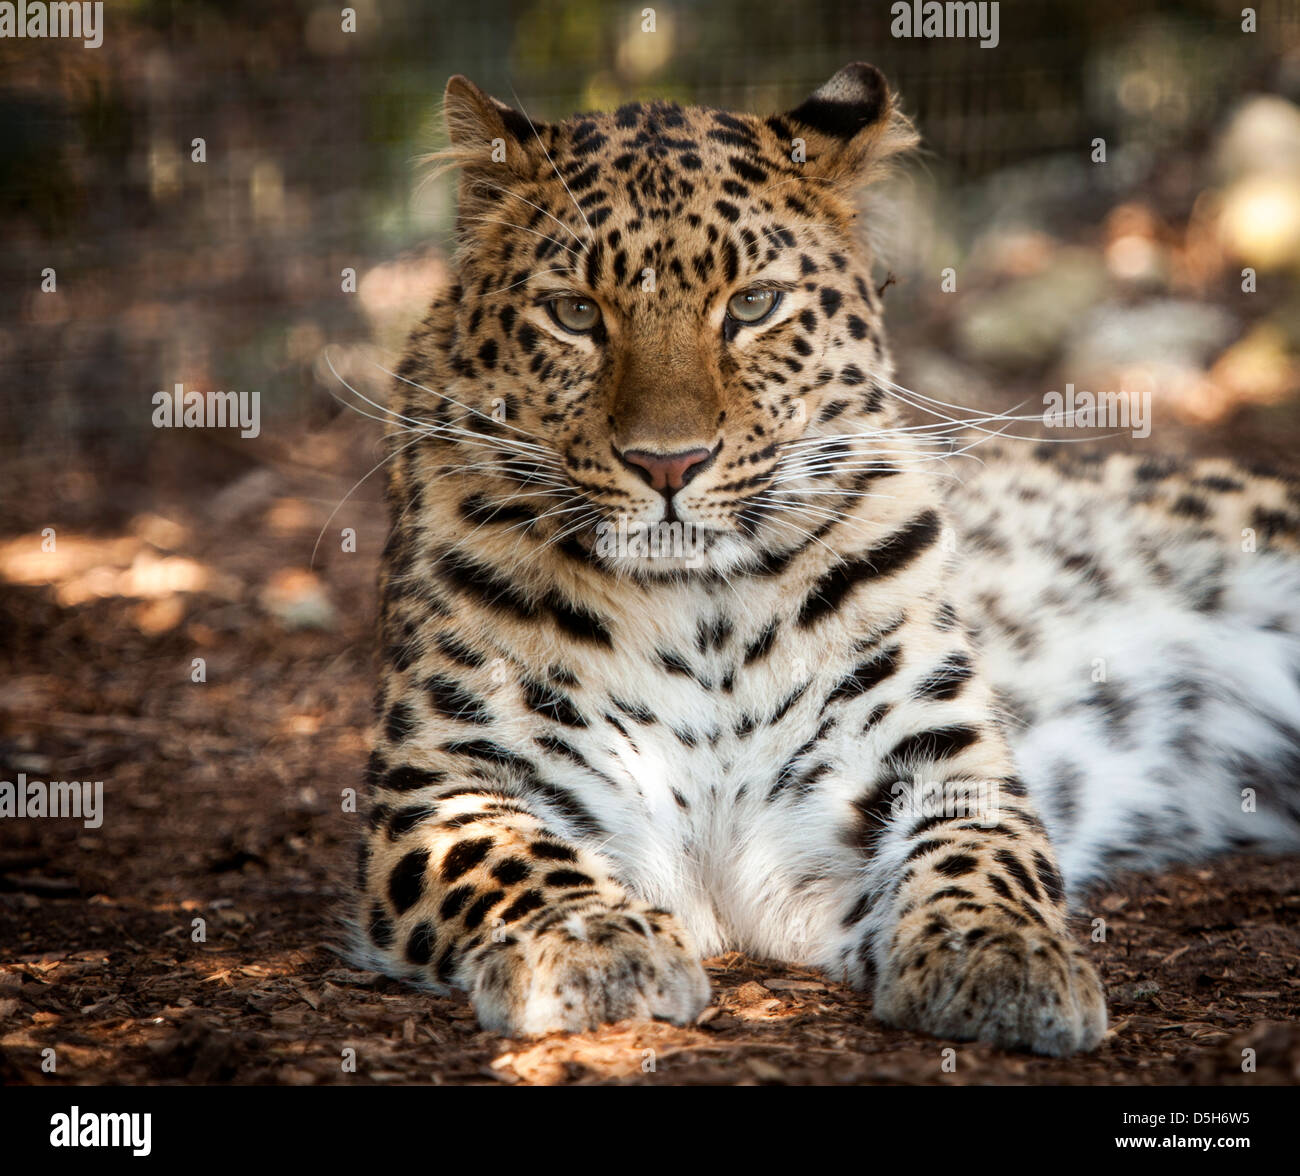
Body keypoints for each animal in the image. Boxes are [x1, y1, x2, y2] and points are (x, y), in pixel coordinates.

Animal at [348, 62, 1300, 1056]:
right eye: (575, 313)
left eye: (752, 305)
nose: (668, 464)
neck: (699, 613)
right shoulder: (447, 781)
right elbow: (514, 859)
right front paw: (592, 945)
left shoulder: (929, 755)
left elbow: (979, 851)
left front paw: (1000, 955)